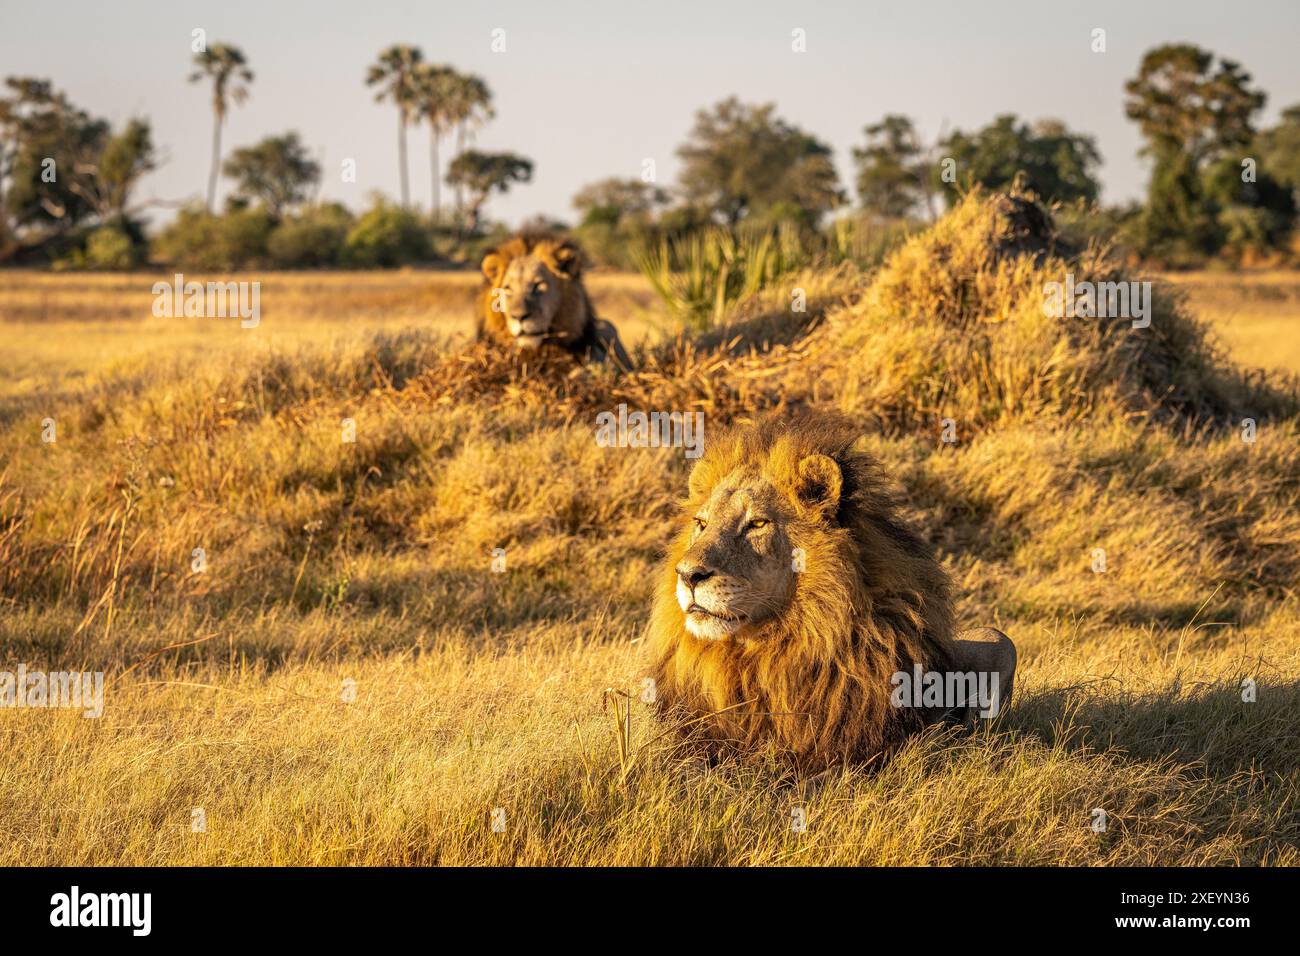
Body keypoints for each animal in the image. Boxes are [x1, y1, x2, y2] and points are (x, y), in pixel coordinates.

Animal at [647, 413, 1016, 772]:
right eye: (702, 524)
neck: (763, 654)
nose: (688, 575)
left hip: (999, 641)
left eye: (757, 524)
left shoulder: (864, 753)